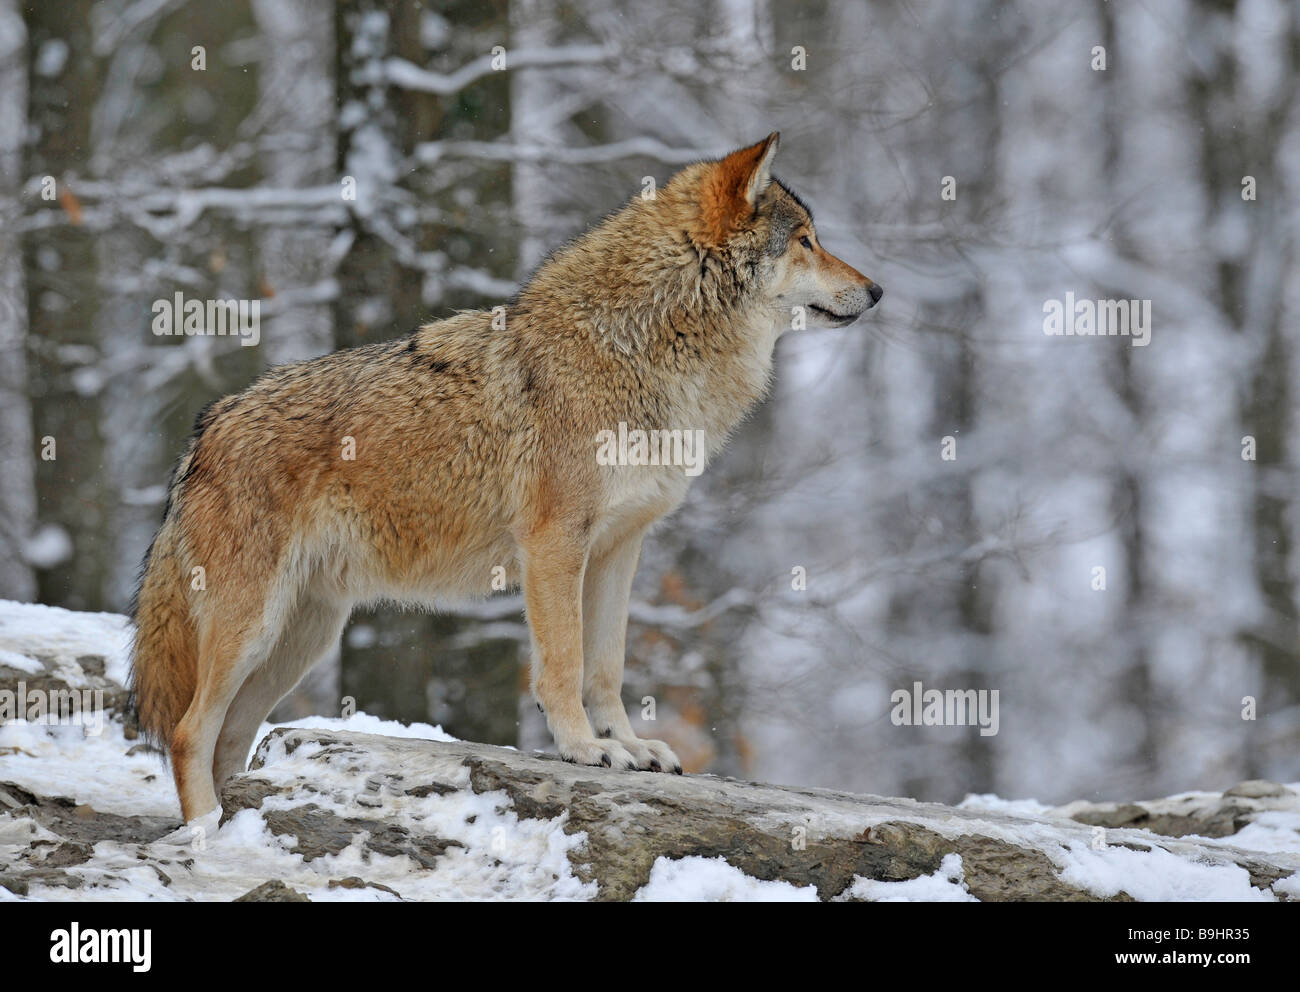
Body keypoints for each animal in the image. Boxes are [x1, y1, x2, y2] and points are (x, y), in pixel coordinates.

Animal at [130, 132, 882, 823]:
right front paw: (585, 750)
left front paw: (630, 746)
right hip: (254, 630)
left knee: (228, 739)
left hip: (301, 642)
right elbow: (564, 664)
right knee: (189, 731)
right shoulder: (554, 544)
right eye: (807, 241)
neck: (643, 346)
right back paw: (207, 837)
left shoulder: (620, 548)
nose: (877, 290)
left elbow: (606, 667)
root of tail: (206, 427)